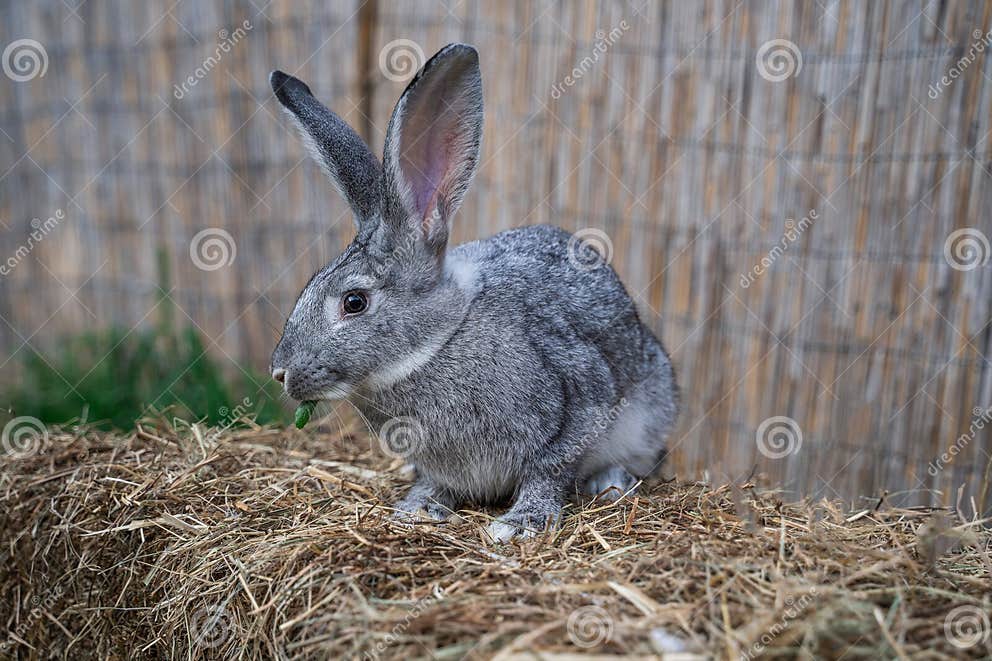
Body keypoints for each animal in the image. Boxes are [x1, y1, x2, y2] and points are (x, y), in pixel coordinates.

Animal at [269, 43, 679, 542]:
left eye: (354, 302)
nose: (280, 372)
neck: (437, 342)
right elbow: (435, 482)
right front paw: (417, 509)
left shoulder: (582, 391)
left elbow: (550, 467)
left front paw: (521, 524)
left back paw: (611, 482)